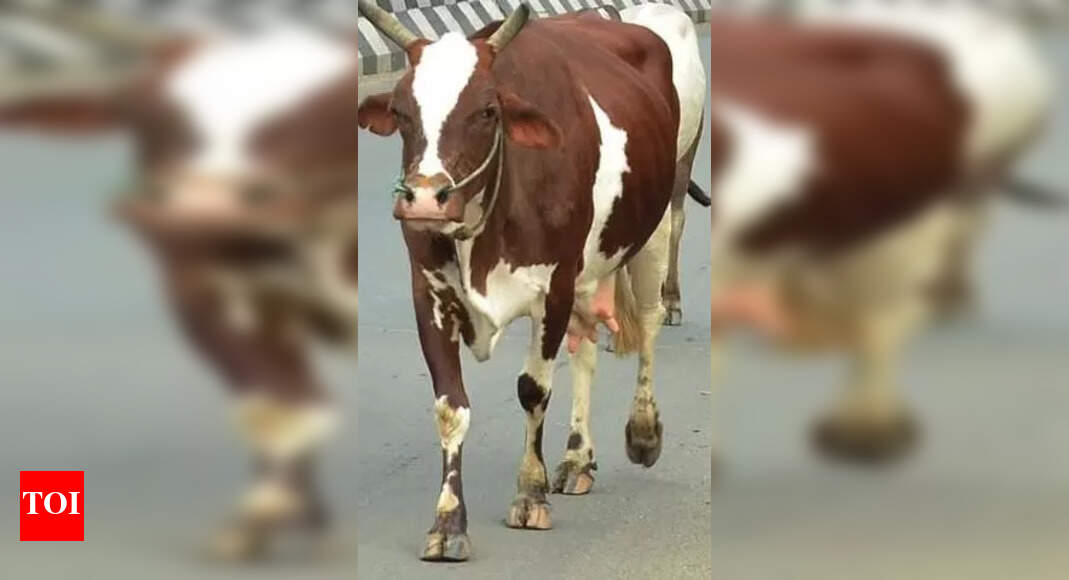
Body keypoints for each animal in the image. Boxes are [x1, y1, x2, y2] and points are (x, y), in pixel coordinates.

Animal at [0, 8, 359, 560]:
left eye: (330, 114)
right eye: (147, 115)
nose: (200, 209)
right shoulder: (197, 291)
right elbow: (280, 405)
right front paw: (267, 519)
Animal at [356, 0, 707, 562]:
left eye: (486, 110)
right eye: (402, 111)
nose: (425, 199)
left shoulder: (553, 287)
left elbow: (533, 389)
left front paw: (530, 494)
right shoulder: (429, 294)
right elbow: (451, 407)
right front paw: (448, 523)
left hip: (655, 222)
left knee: (650, 325)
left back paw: (643, 432)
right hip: (589, 270)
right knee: (585, 347)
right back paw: (577, 458)